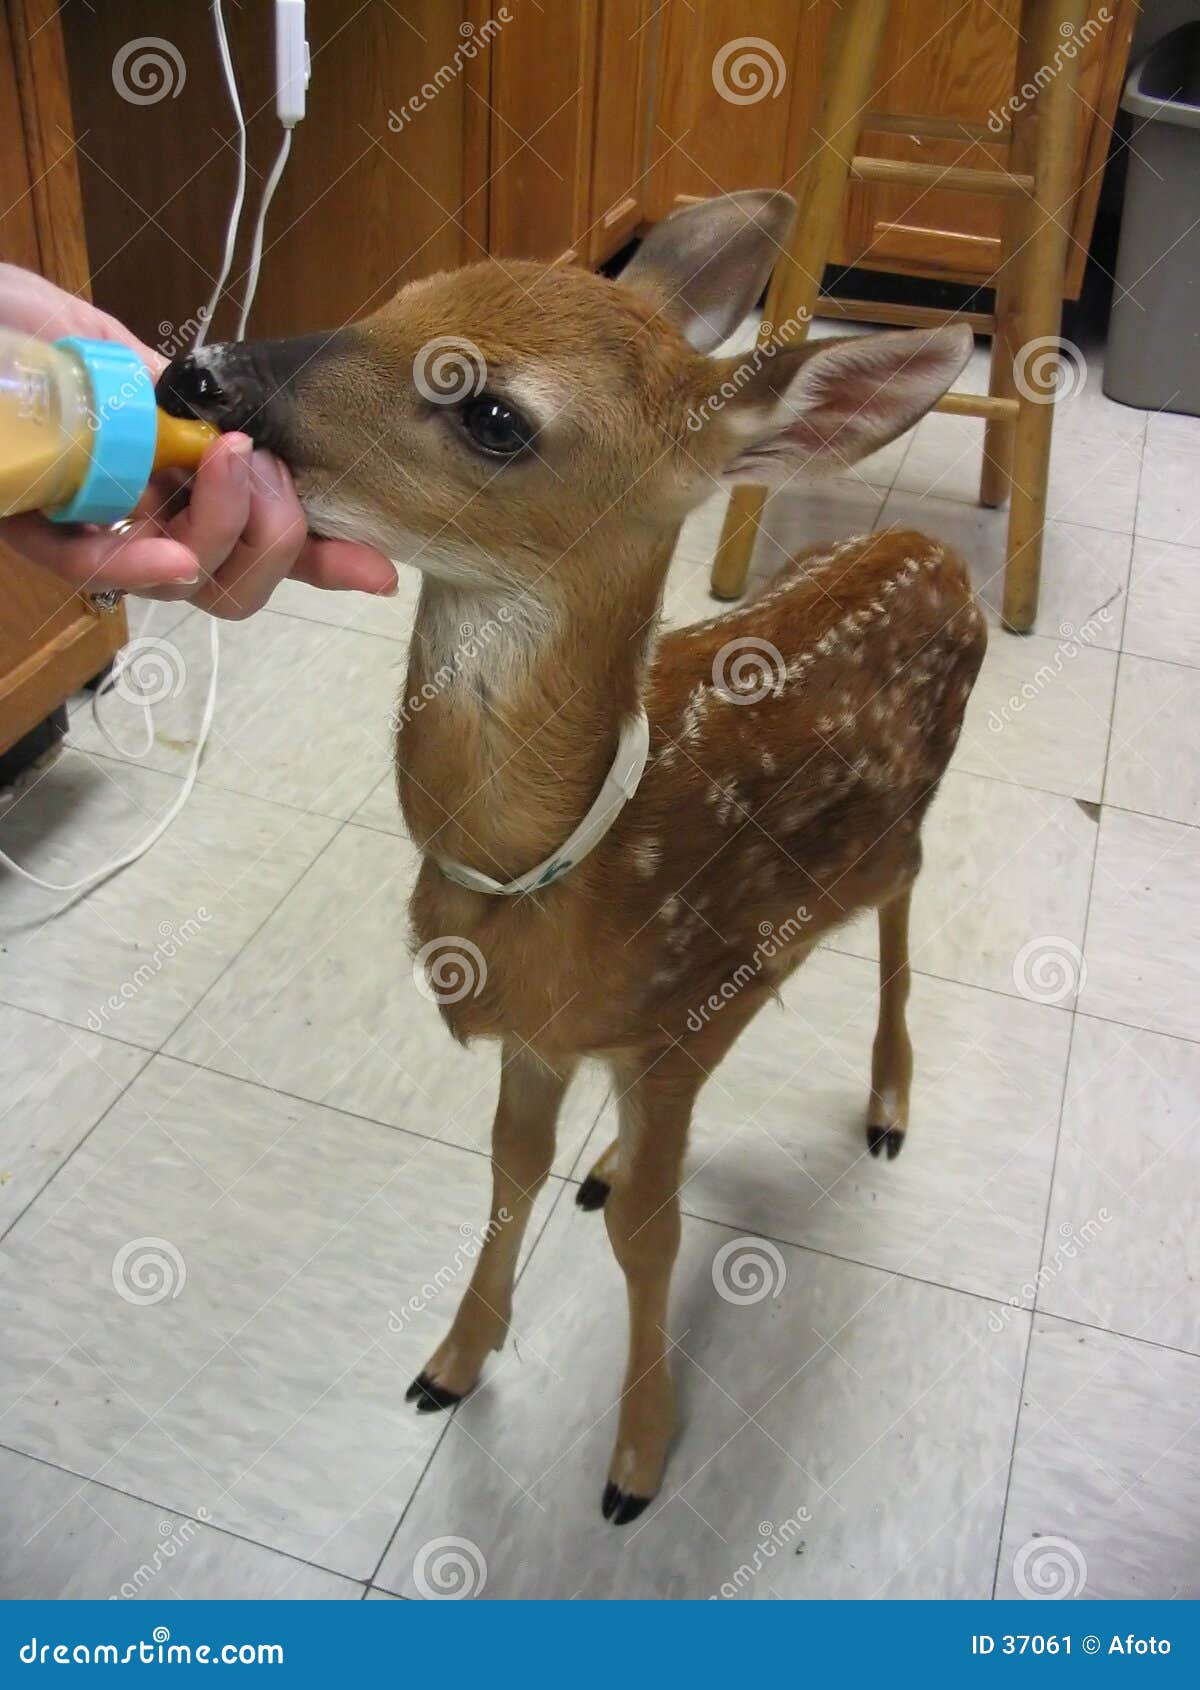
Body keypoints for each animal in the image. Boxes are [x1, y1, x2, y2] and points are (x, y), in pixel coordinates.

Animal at [158, 189, 987, 1525]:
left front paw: (637, 1459)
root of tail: (939, 553)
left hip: (889, 842)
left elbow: (651, 1232)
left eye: (494, 413)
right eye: (398, 296)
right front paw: (450, 1360)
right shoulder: (549, 1043)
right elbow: (512, 1168)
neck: (559, 877)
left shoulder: (669, 1022)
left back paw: (889, 1104)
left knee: (905, 900)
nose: (200, 369)